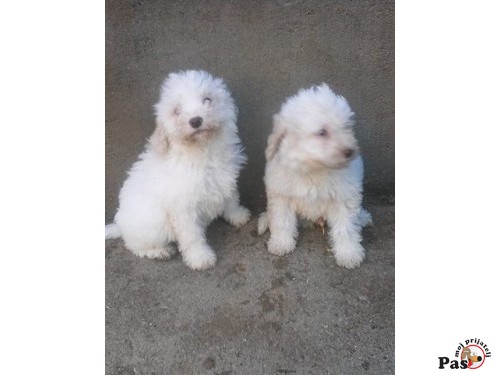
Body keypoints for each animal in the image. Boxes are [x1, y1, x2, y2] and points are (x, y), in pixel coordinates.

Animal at [105, 70, 250, 270]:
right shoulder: (183, 207)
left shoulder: (226, 179)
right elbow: (192, 236)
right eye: (177, 111)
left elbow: (231, 199)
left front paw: (238, 215)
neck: (203, 151)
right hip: (152, 225)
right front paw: (200, 257)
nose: (196, 120)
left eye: (207, 99)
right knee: (135, 245)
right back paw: (159, 251)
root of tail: (120, 226)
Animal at [258, 83, 372, 268]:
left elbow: (346, 227)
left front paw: (349, 253)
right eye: (321, 132)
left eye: (346, 127)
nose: (350, 151)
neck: (313, 167)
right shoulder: (282, 195)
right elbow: (282, 221)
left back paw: (363, 217)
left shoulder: (344, 197)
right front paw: (281, 244)